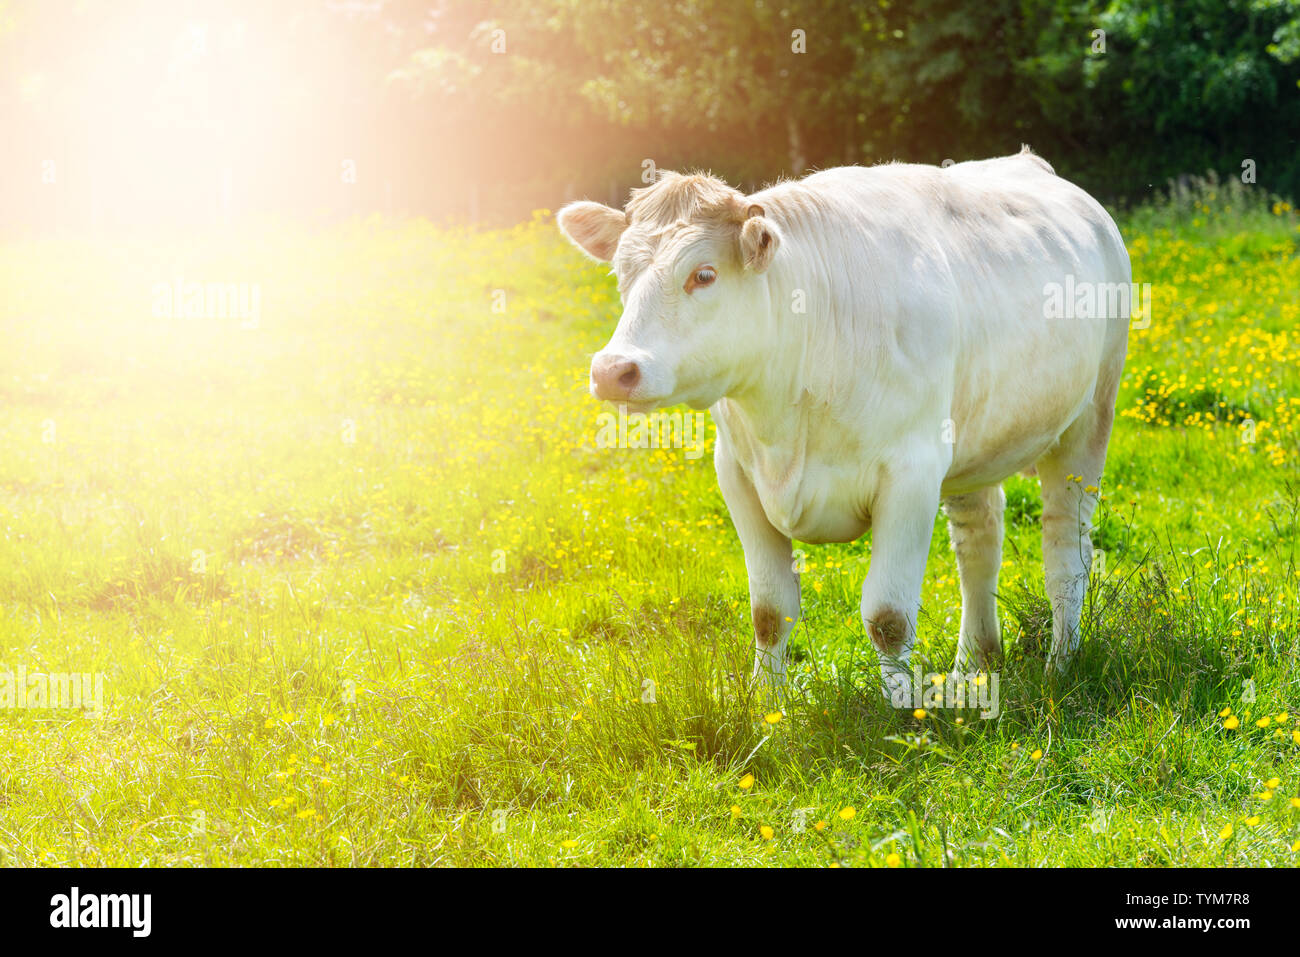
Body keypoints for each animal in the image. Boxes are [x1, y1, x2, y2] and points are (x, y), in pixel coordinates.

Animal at [557, 147, 1130, 700]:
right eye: (620, 275)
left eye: (704, 274)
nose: (613, 370)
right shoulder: (738, 474)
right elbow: (769, 610)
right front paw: (767, 705)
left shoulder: (912, 473)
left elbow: (888, 617)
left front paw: (902, 709)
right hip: (973, 447)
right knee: (978, 547)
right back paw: (975, 664)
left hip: (1089, 423)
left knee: (1067, 551)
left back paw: (1060, 666)